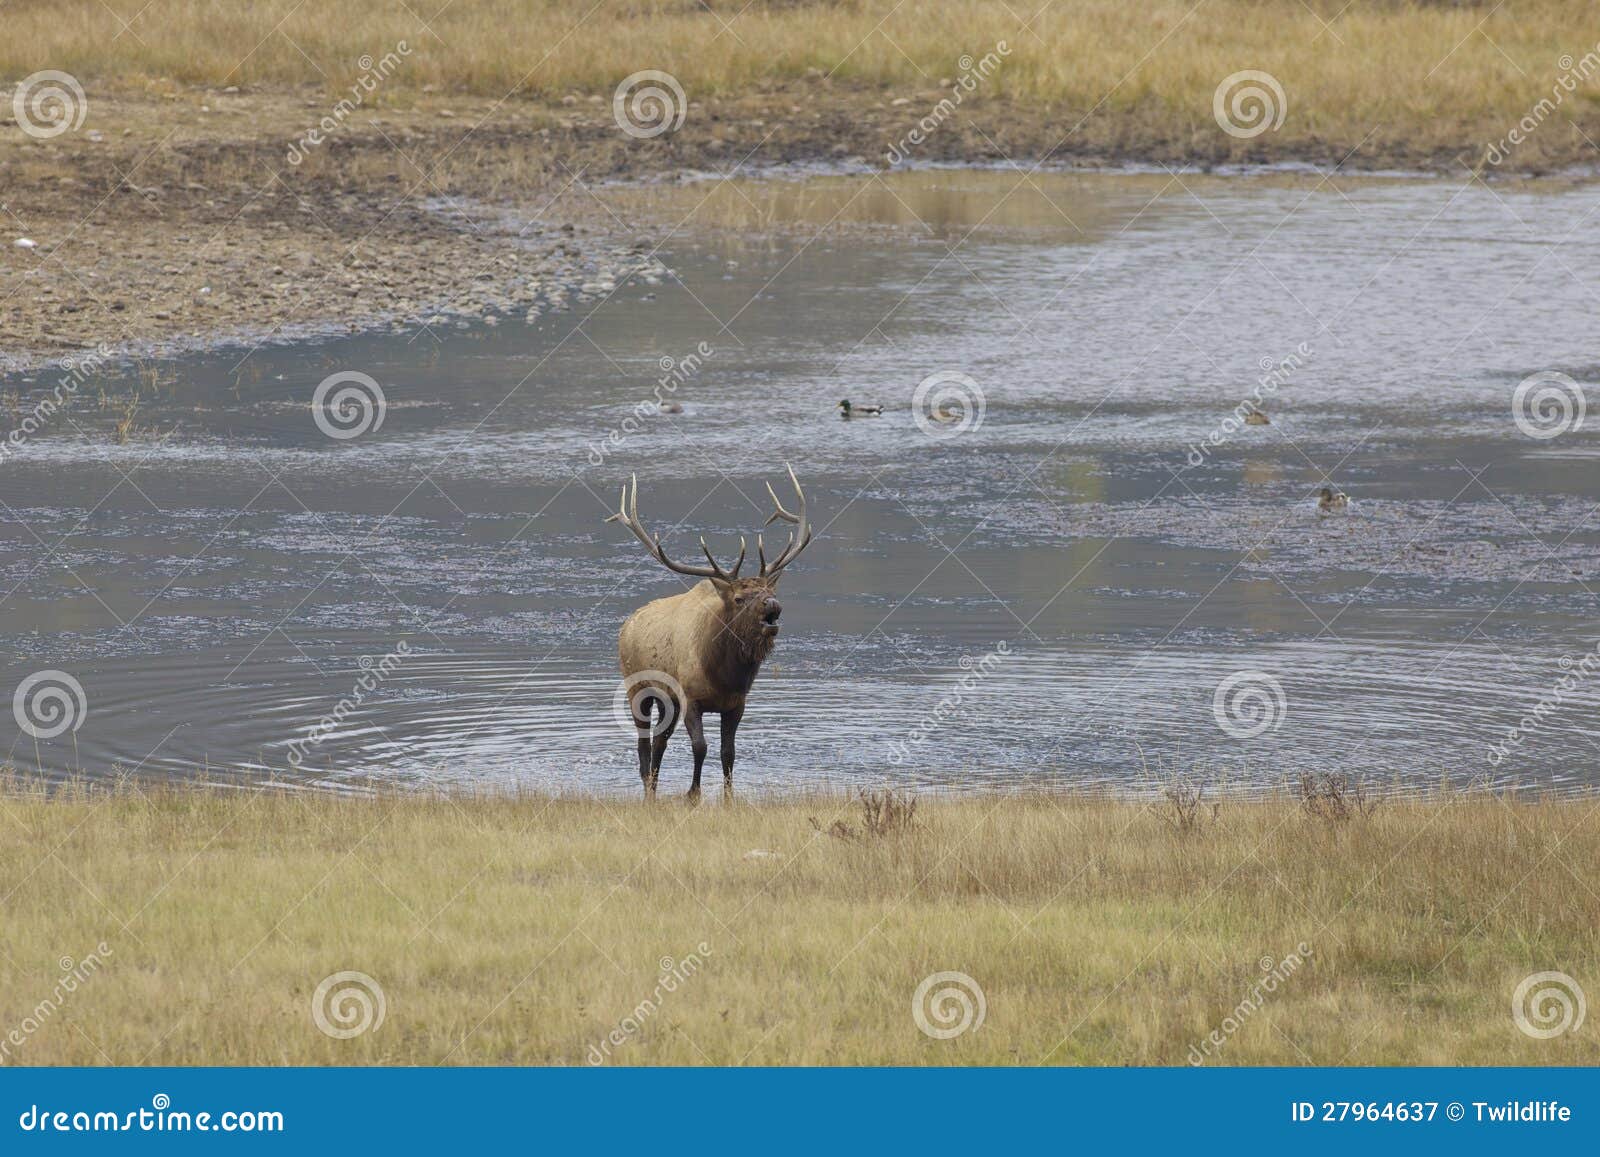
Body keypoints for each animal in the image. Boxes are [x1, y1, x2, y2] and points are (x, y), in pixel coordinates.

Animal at [604, 466, 814, 802]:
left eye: (769, 591)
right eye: (740, 598)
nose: (773, 605)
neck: (723, 673)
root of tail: (628, 623)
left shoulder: (737, 703)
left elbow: (729, 752)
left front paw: (729, 797)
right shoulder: (691, 698)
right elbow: (700, 747)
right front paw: (693, 794)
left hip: (667, 698)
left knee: (659, 741)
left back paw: (654, 786)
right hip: (636, 686)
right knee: (643, 743)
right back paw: (647, 789)